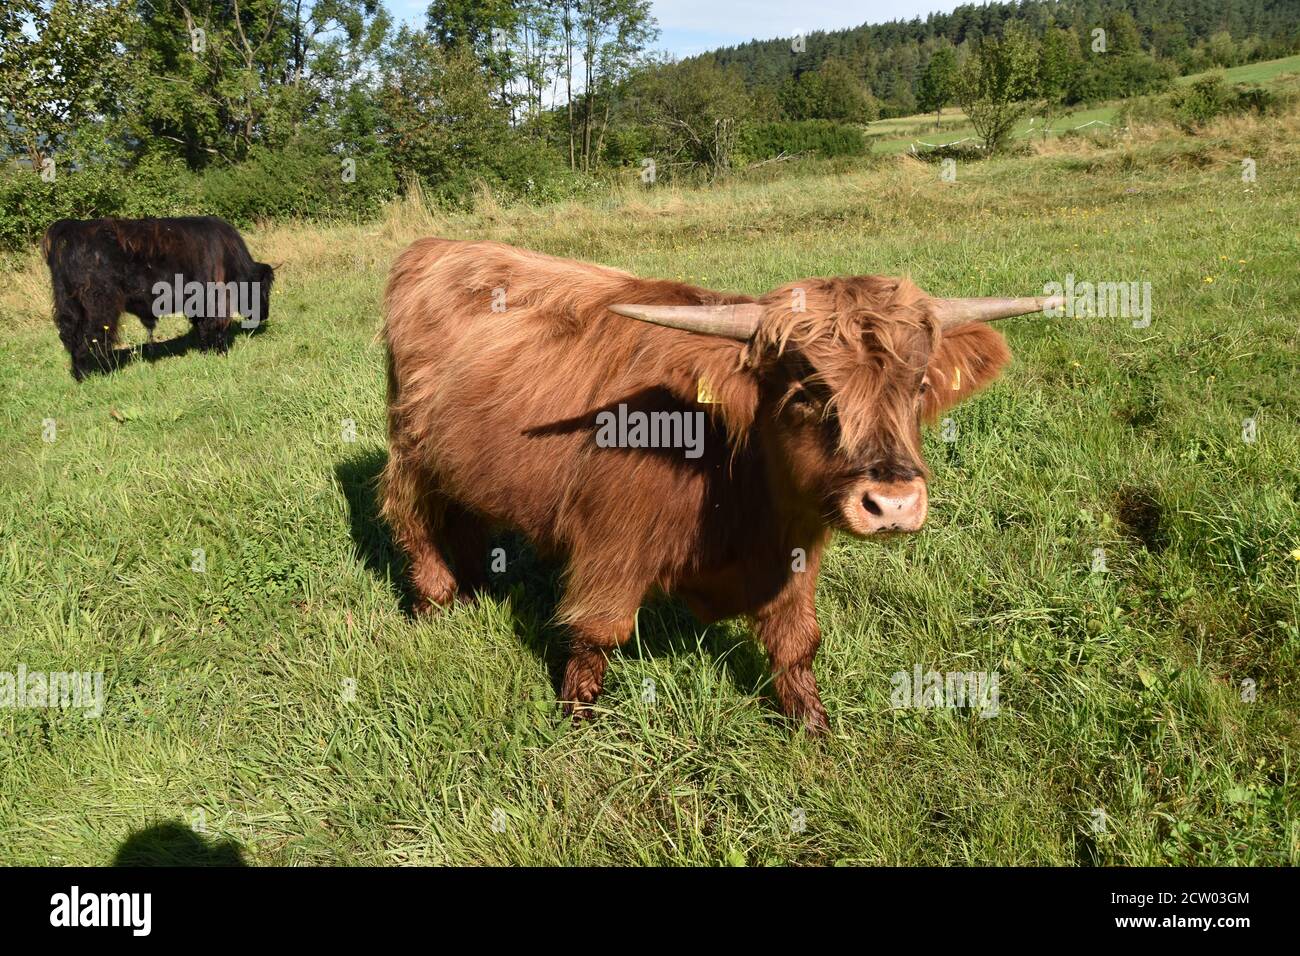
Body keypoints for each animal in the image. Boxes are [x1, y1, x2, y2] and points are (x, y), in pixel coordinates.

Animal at [42, 216, 274, 380]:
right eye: (264, 289)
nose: (264, 315)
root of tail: (73, 227)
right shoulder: (214, 297)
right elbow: (216, 325)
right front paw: (220, 352)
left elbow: (202, 326)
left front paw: (206, 351)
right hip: (99, 307)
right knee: (95, 337)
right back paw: (105, 372)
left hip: (69, 306)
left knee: (72, 338)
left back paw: (82, 375)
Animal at [381, 238, 1060, 731]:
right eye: (807, 391)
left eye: (918, 387)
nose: (892, 503)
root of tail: (434, 246)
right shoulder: (611, 543)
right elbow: (597, 635)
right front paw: (575, 725)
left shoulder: (792, 555)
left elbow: (797, 643)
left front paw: (813, 728)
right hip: (410, 452)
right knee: (413, 520)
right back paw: (434, 602)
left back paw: (473, 587)